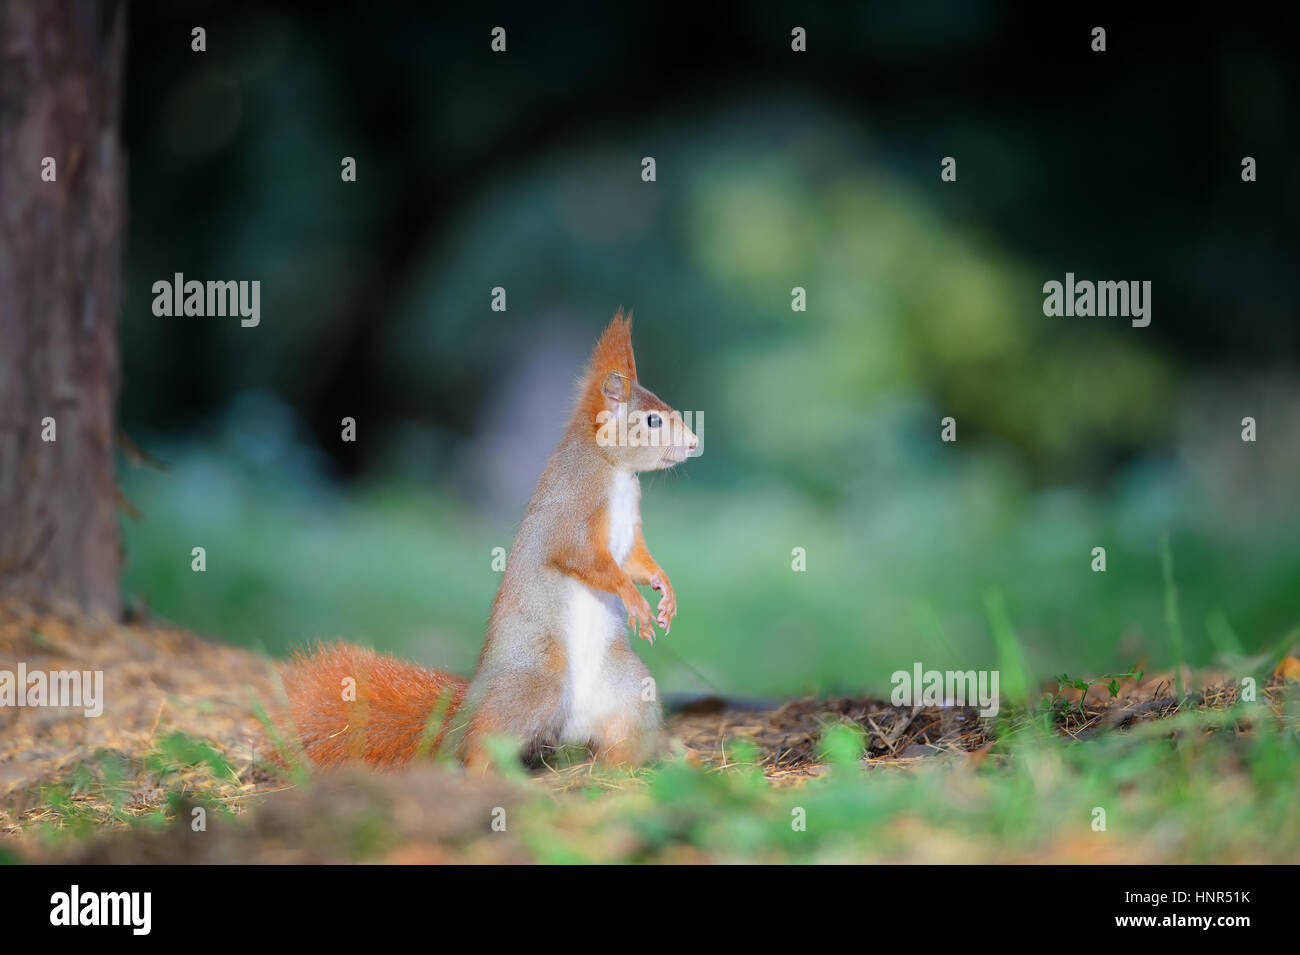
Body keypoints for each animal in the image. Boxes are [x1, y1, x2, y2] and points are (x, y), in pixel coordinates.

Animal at [276, 311, 698, 771]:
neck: (613, 468)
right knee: (482, 746)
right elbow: (584, 559)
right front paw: (634, 599)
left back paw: (637, 766)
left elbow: (638, 560)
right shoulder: (572, 510)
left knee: (619, 739)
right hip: (533, 688)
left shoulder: (630, 528)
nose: (695, 443)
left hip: (629, 693)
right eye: (652, 421)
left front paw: (665, 591)